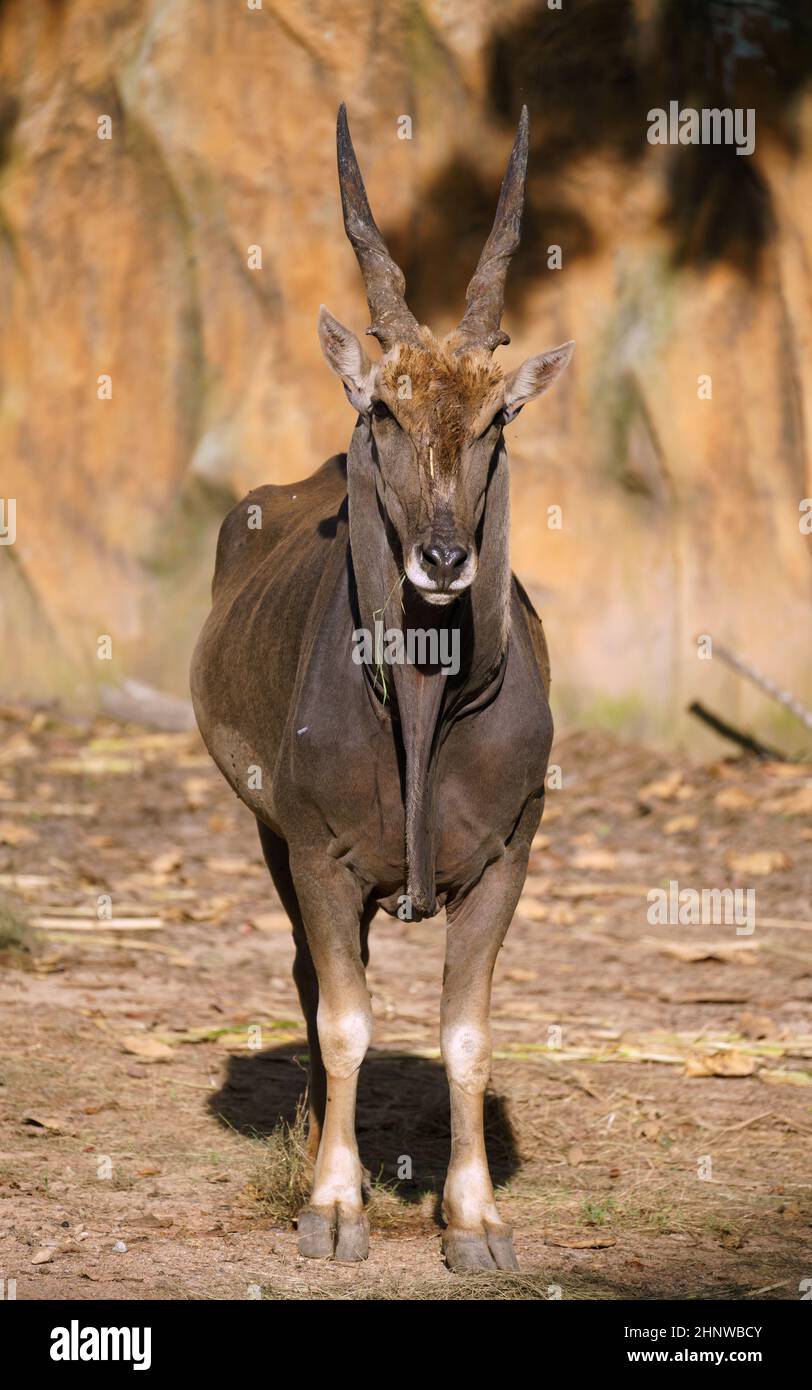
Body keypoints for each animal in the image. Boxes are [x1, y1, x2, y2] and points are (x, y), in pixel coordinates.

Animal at [191, 104, 573, 1272]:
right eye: (387, 412)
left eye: (495, 419)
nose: (443, 559)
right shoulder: (317, 850)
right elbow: (346, 1020)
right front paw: (334, 1205)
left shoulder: (506, 857)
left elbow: (465, 1033)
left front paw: (475, 1220)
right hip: (271, 836)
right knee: (317, 984)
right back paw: (327, 1142)